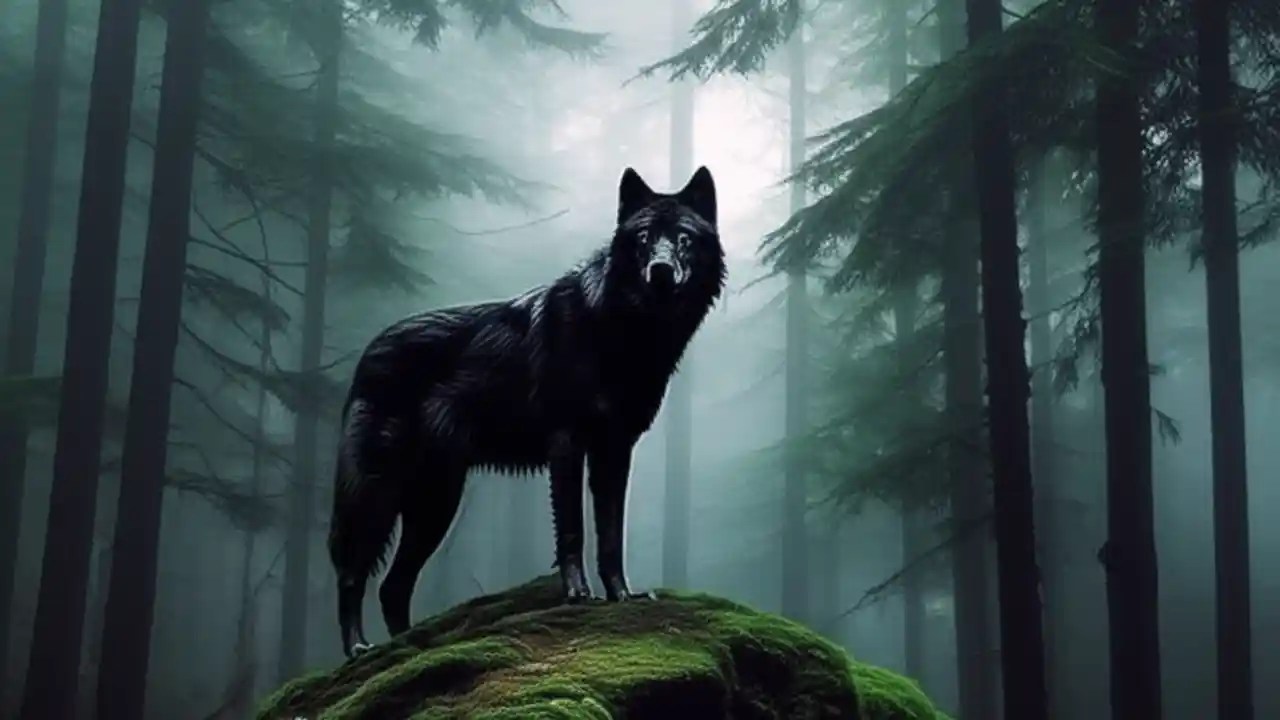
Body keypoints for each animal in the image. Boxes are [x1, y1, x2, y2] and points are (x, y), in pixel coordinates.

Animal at [327, 166, 726, 657]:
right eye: (645, 238)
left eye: (684, 238)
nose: (662, 272)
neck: (622, 331)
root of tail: (368, 352)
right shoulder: (567, 443)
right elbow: (572, 528)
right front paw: (577, 595)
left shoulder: (615, 450)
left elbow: (611, 535)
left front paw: (622, 595)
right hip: (380, 495)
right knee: (352, 573)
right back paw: (358, 649)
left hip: (436, 504)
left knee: (392, 587)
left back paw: (408, 647)